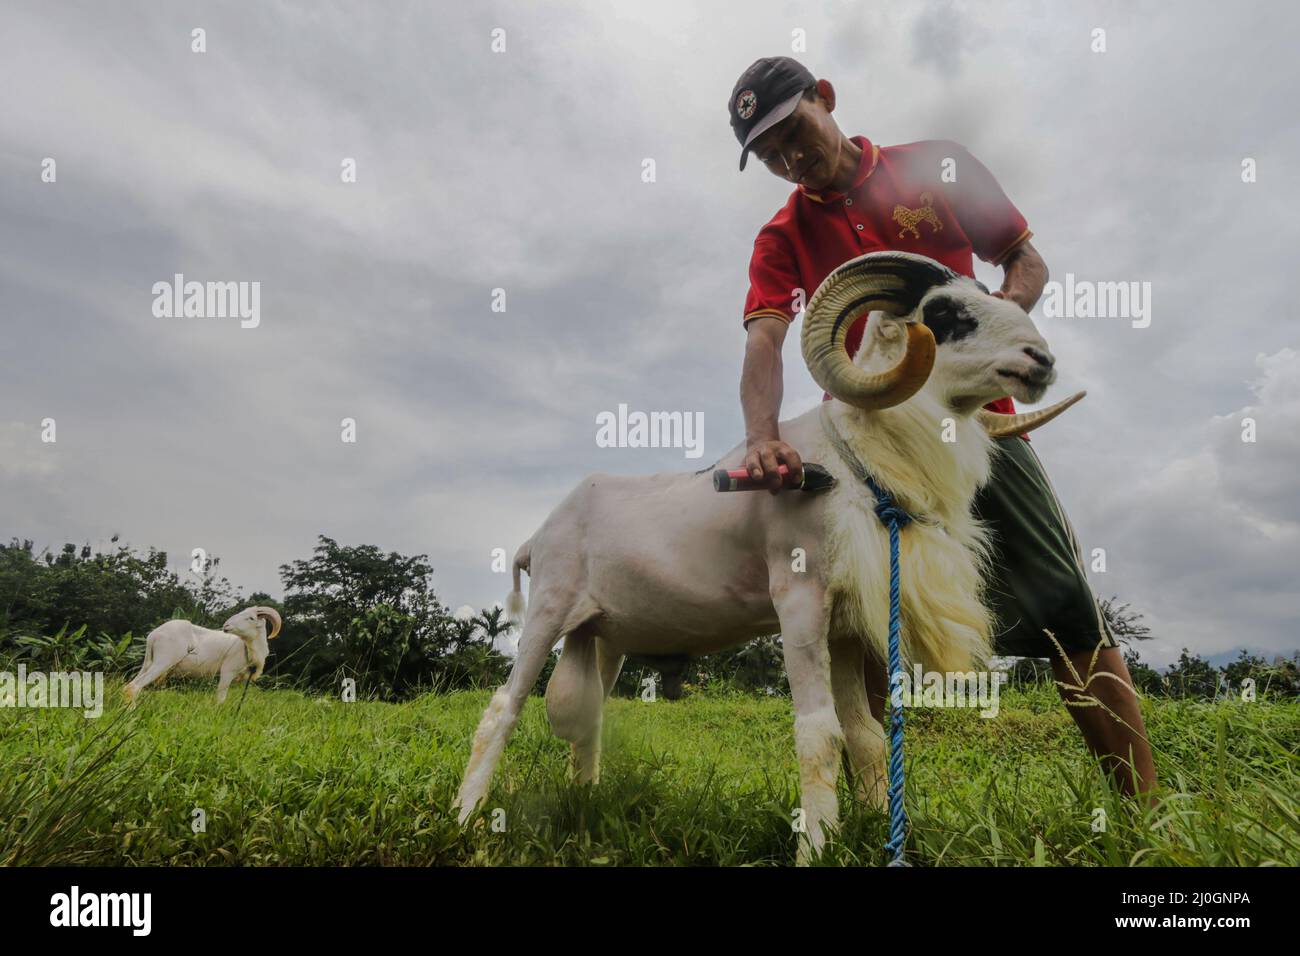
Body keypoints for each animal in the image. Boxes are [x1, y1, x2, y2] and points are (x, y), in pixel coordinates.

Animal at [123, 606, 282, 704]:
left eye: (251, 618)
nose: (226, 626)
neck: (247, 646)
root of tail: (154, 635)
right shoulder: (227, 671)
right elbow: (220, 699)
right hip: (163, 662)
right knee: (133, 687)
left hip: (149, 662)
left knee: (128, 686)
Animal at [453, 251, 1082, 862]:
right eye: (946, 312)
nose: (1043, 361)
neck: (859, 462)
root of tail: (538, 535)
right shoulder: (799, 602)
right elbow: (818, 733)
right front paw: (816, 846)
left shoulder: (844, 628)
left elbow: (865, 734)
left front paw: (877, 824)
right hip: (548, 612)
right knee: (502, 710)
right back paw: (466, 820)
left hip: (602, 637)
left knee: (588, 722)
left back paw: (583, 808)